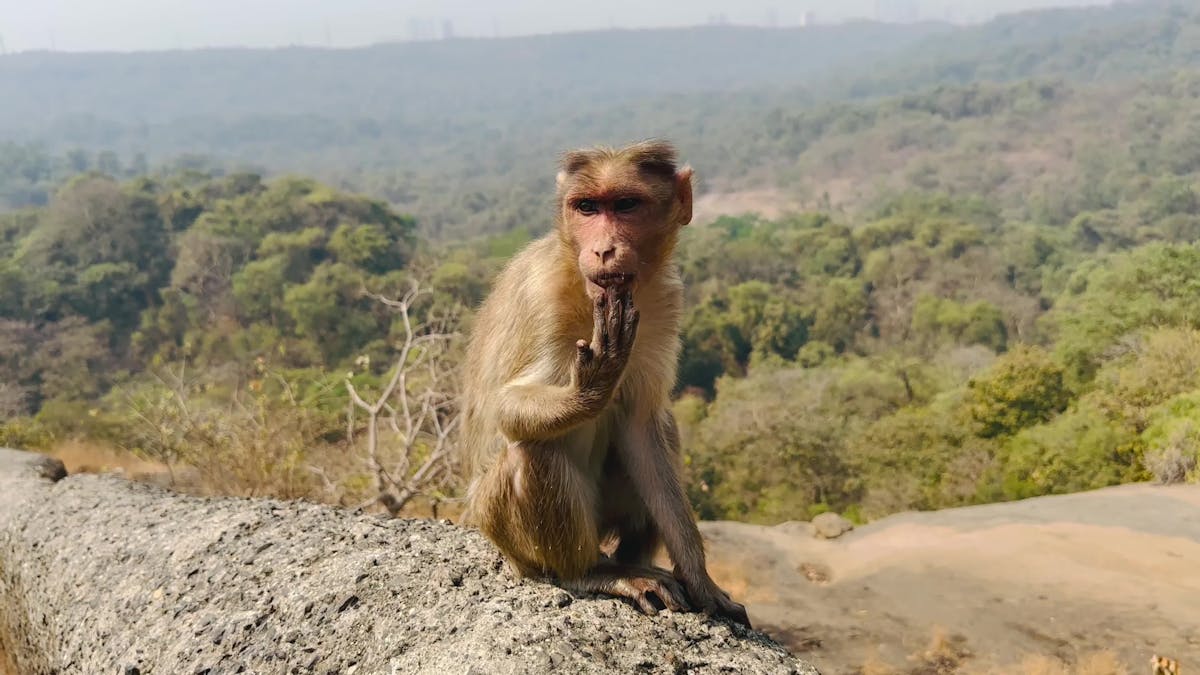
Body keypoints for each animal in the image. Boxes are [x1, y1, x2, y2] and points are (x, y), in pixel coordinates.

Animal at [458, 139, 751, 627]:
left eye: (626, 205)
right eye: (587, 208)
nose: (603, 251)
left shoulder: (666, 301)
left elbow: (641, 426)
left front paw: (700, 577)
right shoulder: (542, 294)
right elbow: (505, 406)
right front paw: (589, 389)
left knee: (664, 429)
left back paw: (632, 560)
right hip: (502, 529)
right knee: (532, 451)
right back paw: (592, 572)